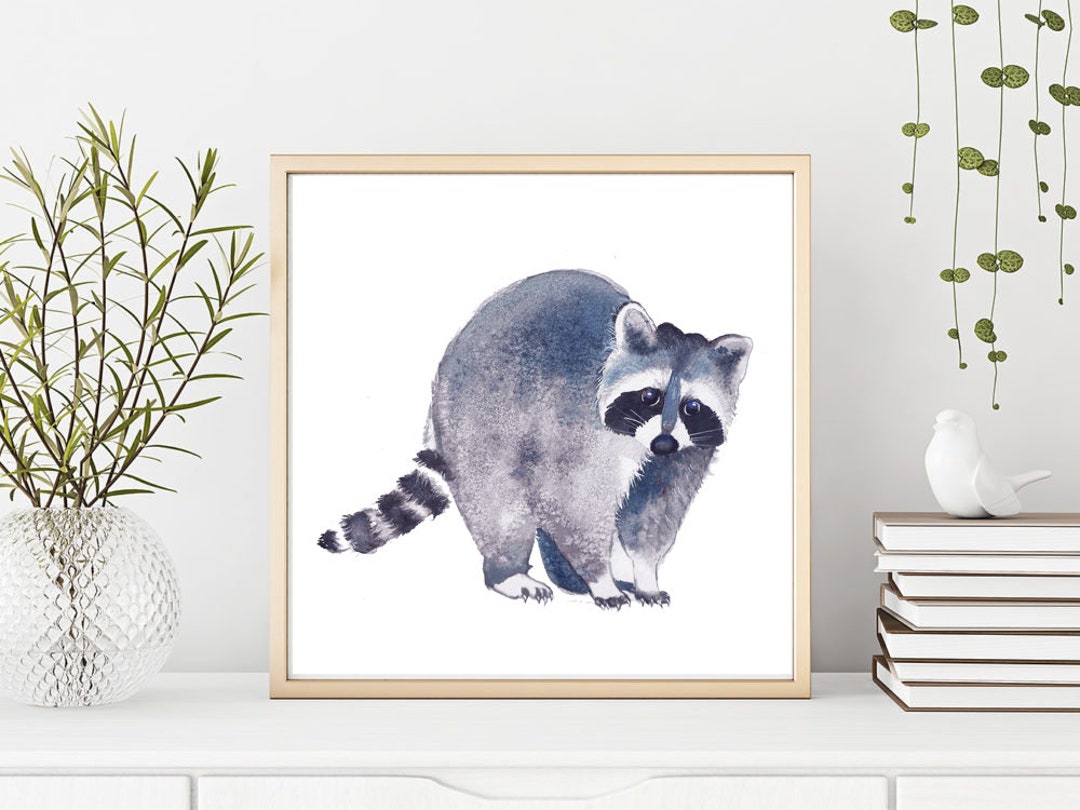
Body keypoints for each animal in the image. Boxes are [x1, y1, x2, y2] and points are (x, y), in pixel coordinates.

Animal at [318, 270, 752, 609]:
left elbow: (653, 510)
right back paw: (508, 572)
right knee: (501, 505)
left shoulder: (685, 454)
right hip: (479, 419)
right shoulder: (580, 432)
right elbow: (573, 505)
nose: (662, 444)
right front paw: (599, 578)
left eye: (692, 407)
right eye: (649, 396)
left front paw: (644, 573)